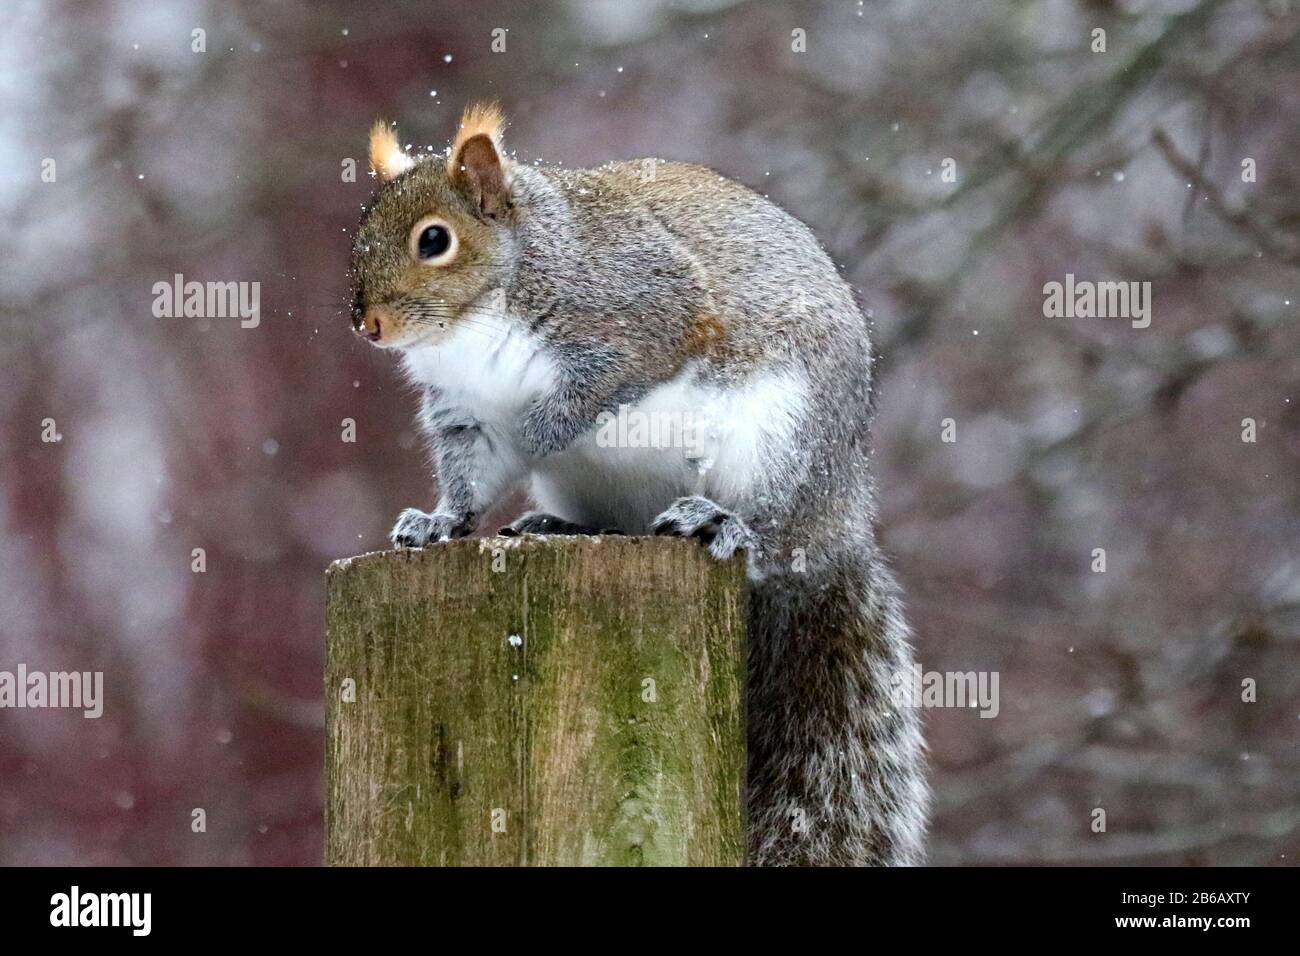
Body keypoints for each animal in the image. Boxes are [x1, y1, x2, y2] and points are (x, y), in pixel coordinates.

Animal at [349, 103, 928, 866]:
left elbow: (591, 392)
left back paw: (722, 521)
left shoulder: (644, 314)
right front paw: (440, 521)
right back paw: (560, 525)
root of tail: (840, 524)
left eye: (434, 240)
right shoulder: (464, 415)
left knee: (773, 530)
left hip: (783, 439)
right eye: (360, 229)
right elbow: (470, 477)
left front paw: (539, 432)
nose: (367, 323)